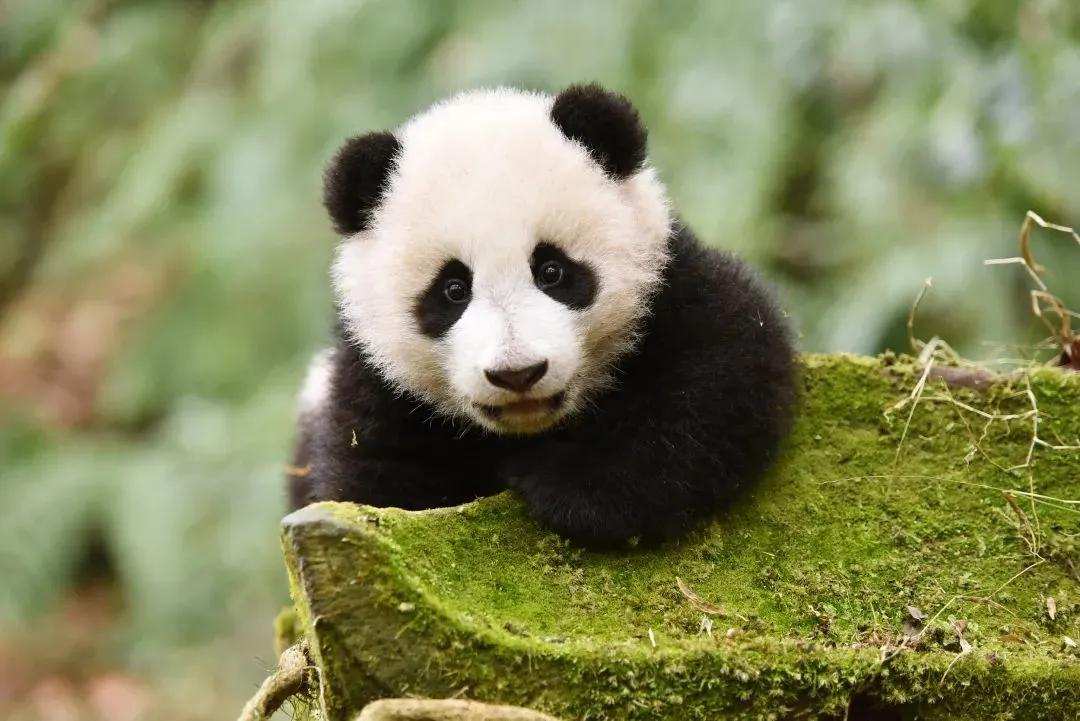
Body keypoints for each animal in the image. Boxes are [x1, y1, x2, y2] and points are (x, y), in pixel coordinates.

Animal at [288, 84, 796, 547]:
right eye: (452, 290)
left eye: (552, 270)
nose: (518, 374)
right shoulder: (370, 388)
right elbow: (375, 479)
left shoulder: (669, 290)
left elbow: (719, 379)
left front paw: (565, 486)